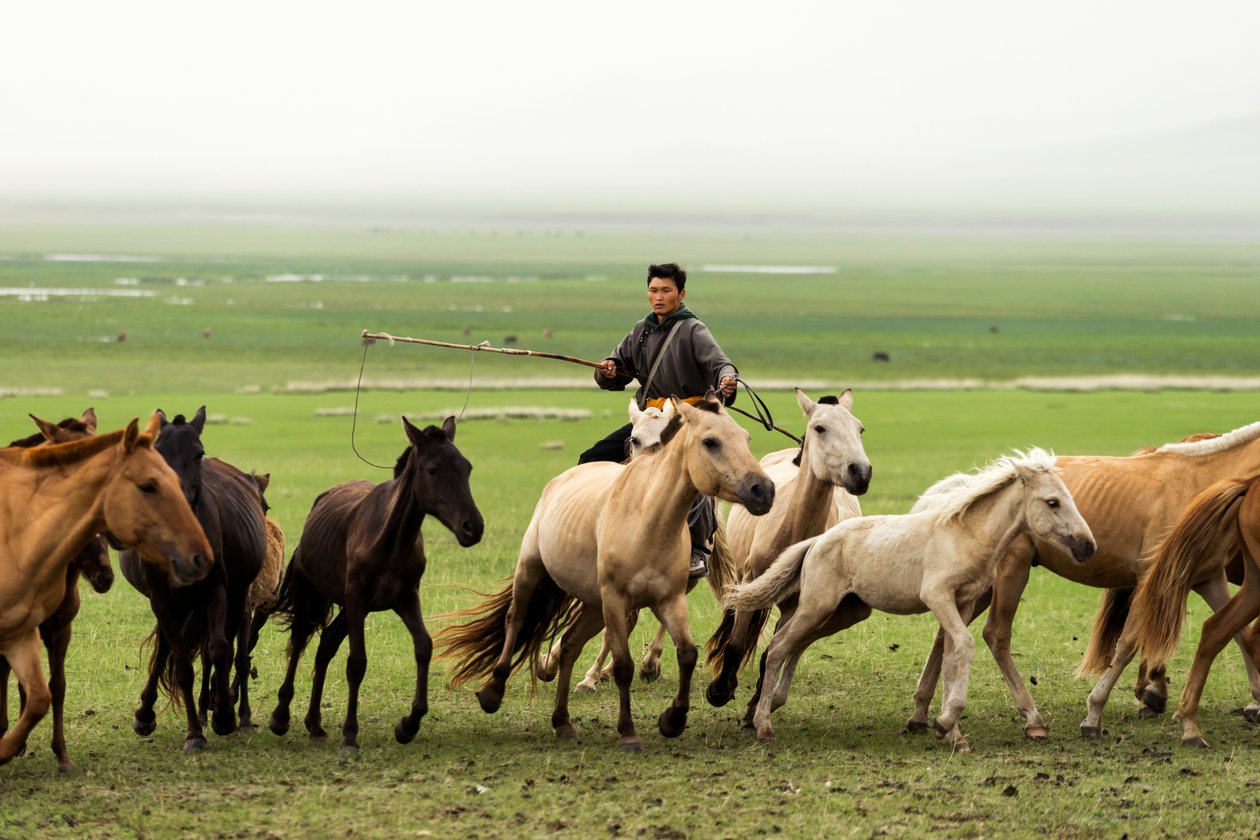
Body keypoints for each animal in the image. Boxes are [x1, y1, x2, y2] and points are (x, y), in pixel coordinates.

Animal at [119, 406, 268, 750]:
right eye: (156, 454)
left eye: (198, 453)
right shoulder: (161, 598)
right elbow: (183, 665)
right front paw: (194, 733)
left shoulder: (217, 591)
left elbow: (219, 651)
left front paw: (223, 716)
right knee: (165, 650)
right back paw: (145, 715)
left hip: (234, 596)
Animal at [268, 415, 483, 754]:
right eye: (432, 470)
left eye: (467, 467)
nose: (473, 528)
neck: (389, 540)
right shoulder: (357, 599)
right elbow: (357, 663)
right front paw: (350, 735)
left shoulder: (405, 598)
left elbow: (424, 647)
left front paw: (408, 725)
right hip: (313, 594)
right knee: (301, 640)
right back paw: (280, 717)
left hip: (351, 609)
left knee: (325, 646)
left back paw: (315, 724)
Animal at [439, 391, 774, 752]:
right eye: (711, 442)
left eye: (745, 438)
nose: (763, 490)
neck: (649, 519)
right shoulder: (615, 598)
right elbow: (623, 662)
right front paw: (628, 731)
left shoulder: (669, 598)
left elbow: (686, 653)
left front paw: (672, 719)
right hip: (532, 568)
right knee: (517, 619)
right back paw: (494, 691)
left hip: (594, 603)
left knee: (571, 645)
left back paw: (564, 720)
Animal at [705, 387, 871, 712]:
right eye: (819, 428)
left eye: (859, 429)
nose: (860, 472)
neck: (793, 529)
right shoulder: (750, 581)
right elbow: (736, 644)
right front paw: (719, 691)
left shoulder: (797, 602)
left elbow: (772, 651)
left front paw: (755, 707)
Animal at [725, 449, 1095, 751]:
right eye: (1052, 502)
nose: (1087, 546)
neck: (966, 536)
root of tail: (816, 542)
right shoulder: (938, 596)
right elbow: (963, 645)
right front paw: (945, 722)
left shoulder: (963, 603)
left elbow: (950, 656)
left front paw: (951, 733)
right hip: (818, 606)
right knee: (779, 648)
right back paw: (763, 726)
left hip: (845, 611)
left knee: (797, 644)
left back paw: (772, 704)